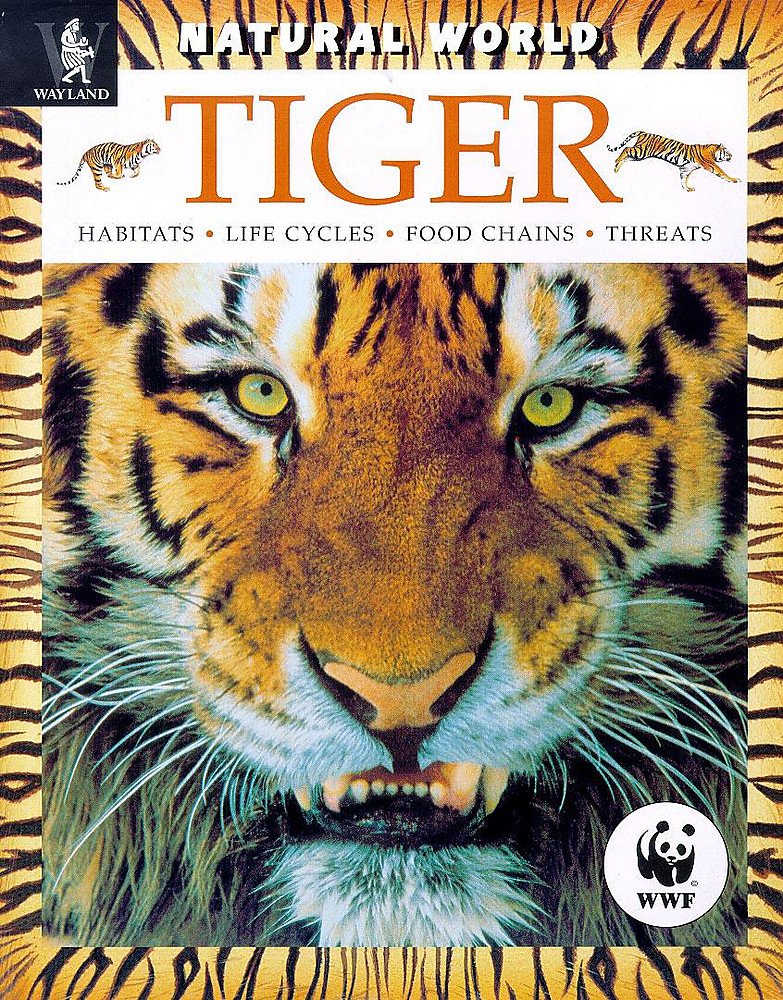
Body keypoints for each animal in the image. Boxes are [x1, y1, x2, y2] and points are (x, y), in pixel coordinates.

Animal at [608, 131, 739, 191]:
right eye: (726, 151)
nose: (732, 156)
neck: (712, 152)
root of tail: (644, 132)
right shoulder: (711, 164)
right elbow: (722, 172)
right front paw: (735, 180)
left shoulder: (685, 168)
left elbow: (683, 179)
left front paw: (687, 189)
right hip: (641, 151)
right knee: (626, 149)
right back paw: (616, 161)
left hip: (638, 156)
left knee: (626, 156)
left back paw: (616, 167)